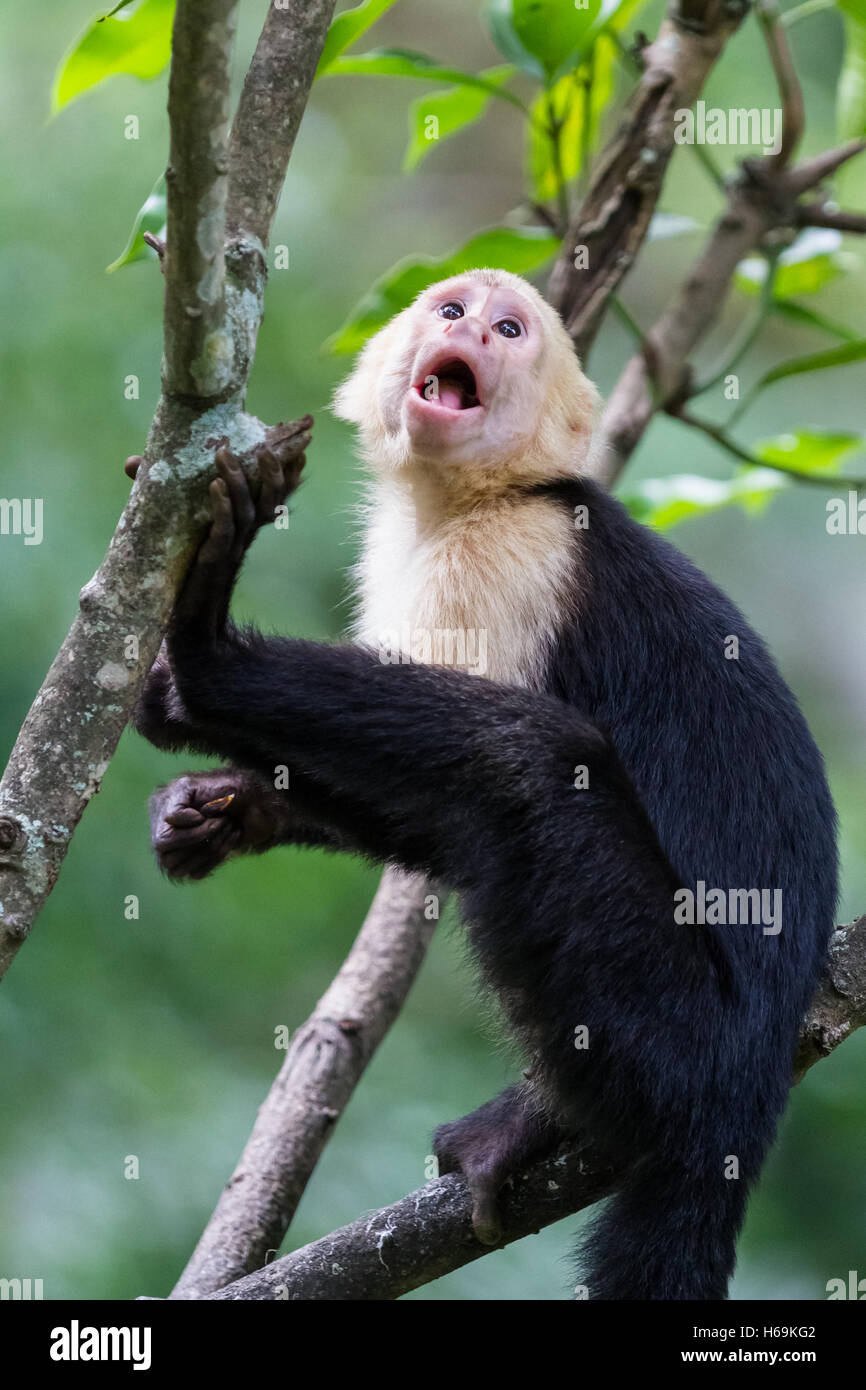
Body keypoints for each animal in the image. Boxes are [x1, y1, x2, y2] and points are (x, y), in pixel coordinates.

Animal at [132, 268, 838, 1300]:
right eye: (452, 312)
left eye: (510, 330)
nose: (473, 323)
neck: (478, 499)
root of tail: (751, 1083)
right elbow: (436, 824)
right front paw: (227, 808)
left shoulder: (514, 560)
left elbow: (467, 776)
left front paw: (204, 664)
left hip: (683, 1032)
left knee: (530, 761)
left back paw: (551, 1122)